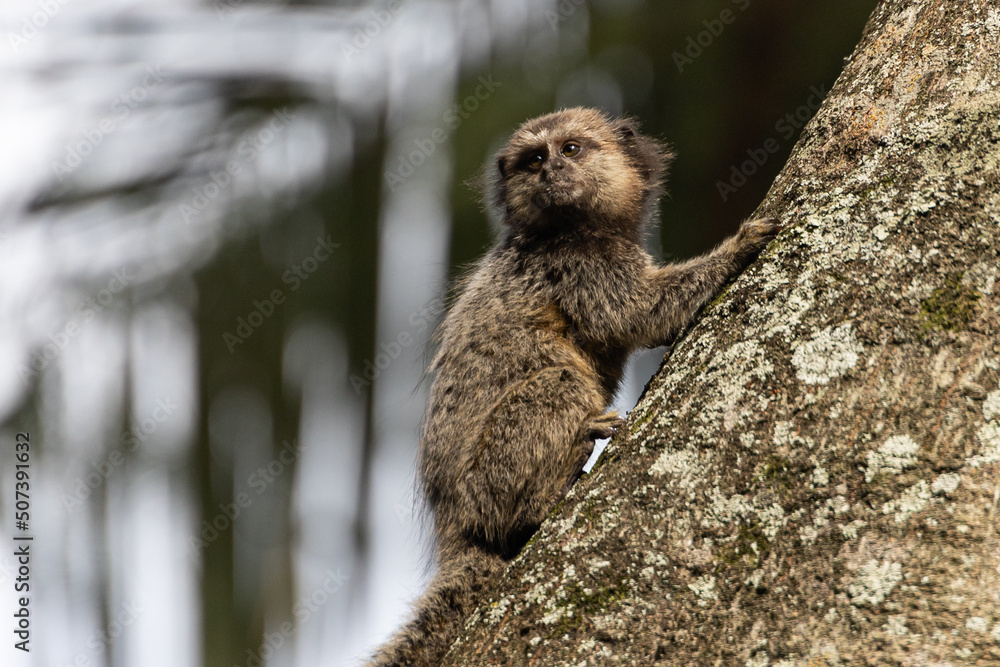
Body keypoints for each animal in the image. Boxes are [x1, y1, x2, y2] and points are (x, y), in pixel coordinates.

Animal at [367, 107, 781, 666]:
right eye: (534, 159)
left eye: (570, 150)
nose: (550, 172)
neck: (573, 227)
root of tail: (454, 519)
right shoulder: (578, 265)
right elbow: (637, 313)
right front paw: (736, 248)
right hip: (486, 484)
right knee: (560, 384)